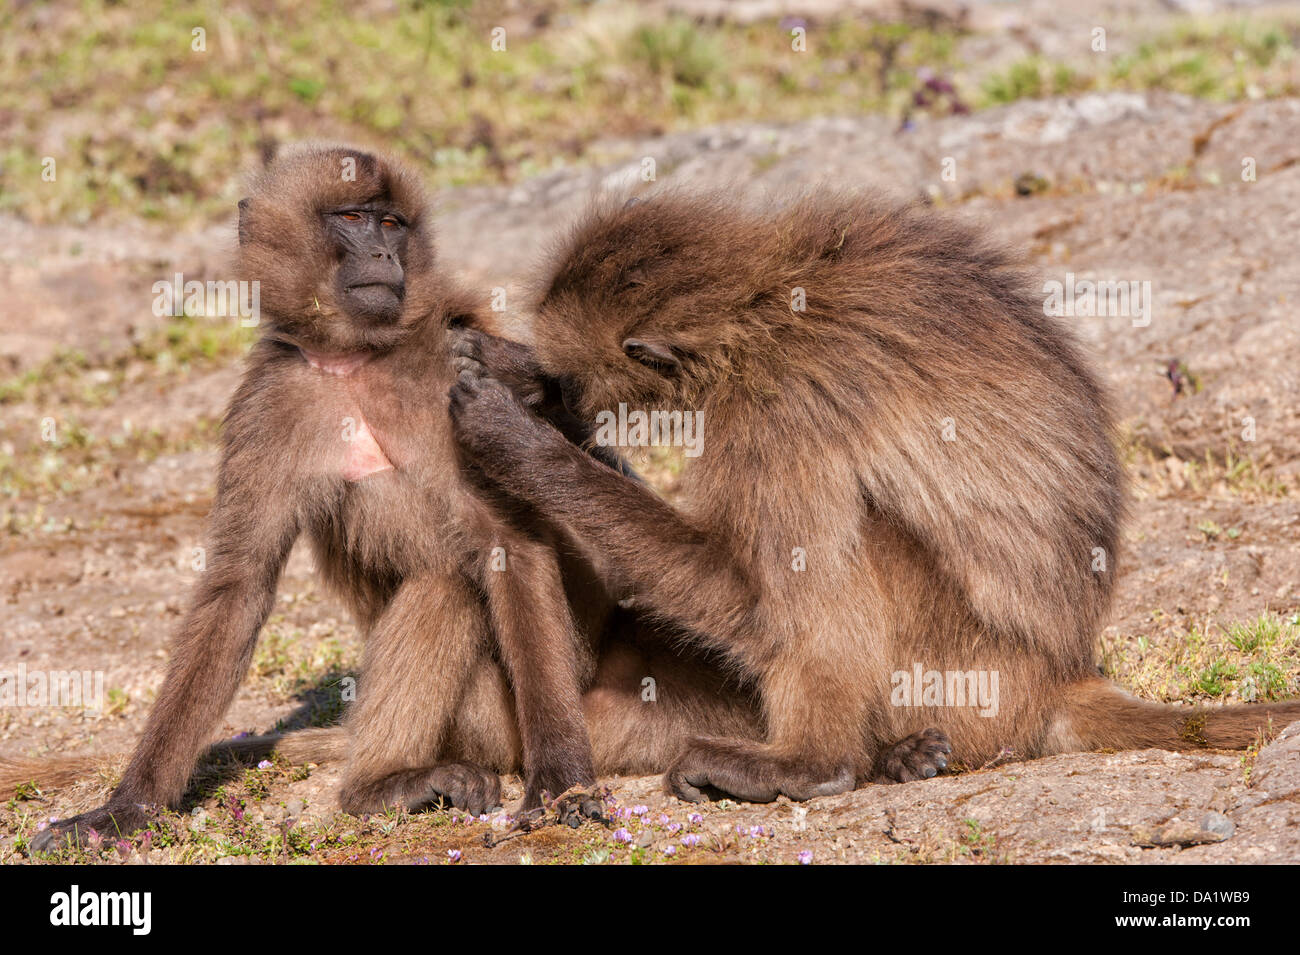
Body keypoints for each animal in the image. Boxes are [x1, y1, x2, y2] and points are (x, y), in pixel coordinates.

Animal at [446, 190, 1300, 804]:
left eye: (574, 379)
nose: (562, 396)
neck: (757, 305)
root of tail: (1060, 676)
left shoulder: (777, 413)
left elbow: (755, 592)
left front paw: (518, 440)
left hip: (964, 666)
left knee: (834, 560)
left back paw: (812, 763)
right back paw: (890, 756)